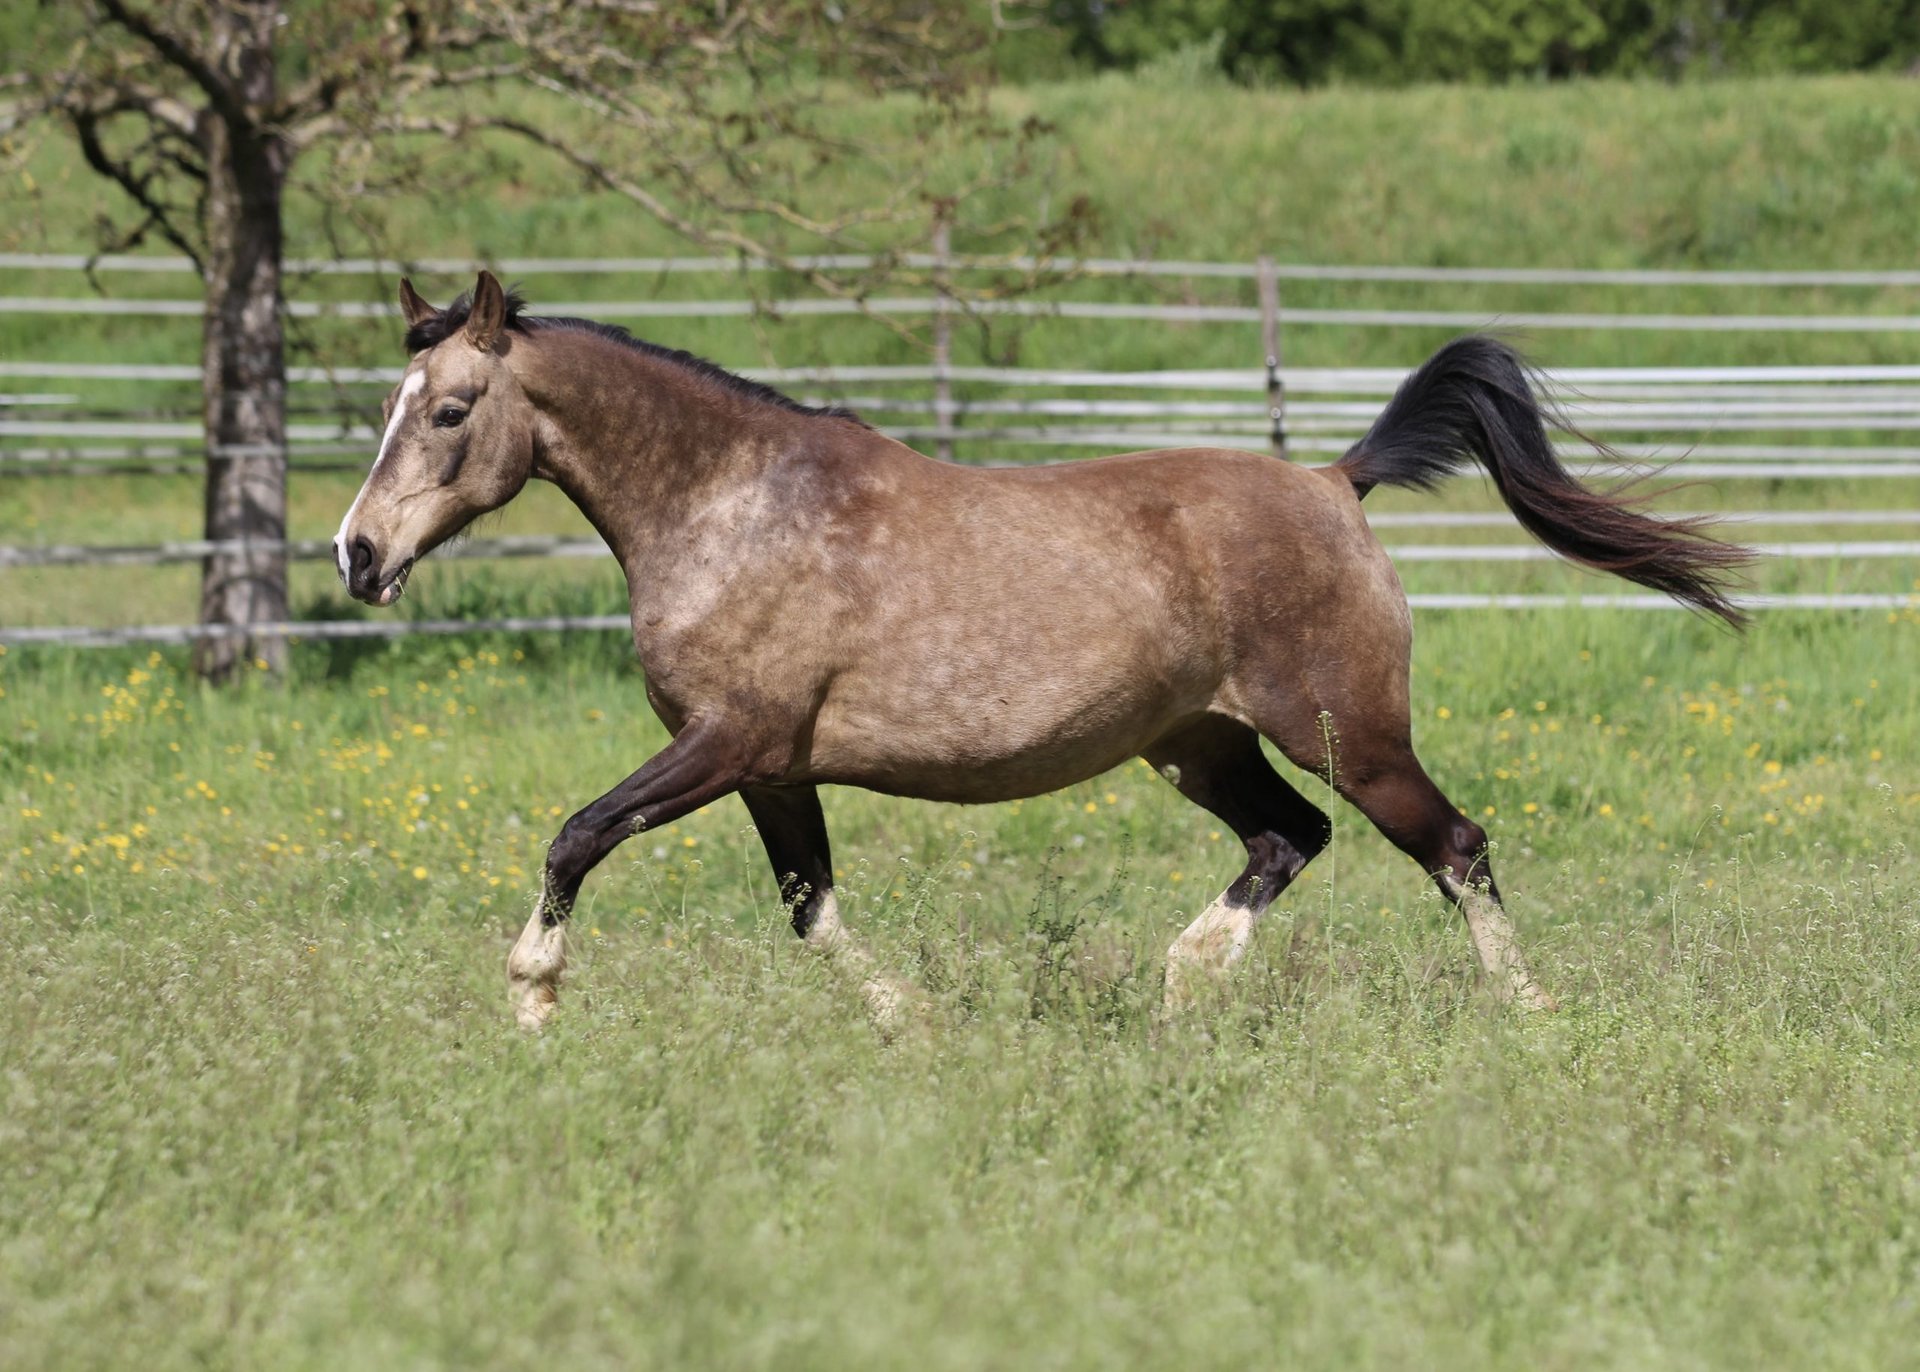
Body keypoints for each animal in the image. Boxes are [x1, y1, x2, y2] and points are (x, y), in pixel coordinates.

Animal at [334, 271, 1749, 1028]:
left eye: (450, 410)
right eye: (388, 408)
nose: (355, 554)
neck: (736, 505)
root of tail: (1335, 483)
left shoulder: (727, 742)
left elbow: (578, 833)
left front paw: (533, 998)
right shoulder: (773, 769)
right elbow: (812, 910)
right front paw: (919, 1029)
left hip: (1348, 733)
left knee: (1453, 845)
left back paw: (1529, 1017)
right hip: (1195, 745)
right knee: (1288, 839)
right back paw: (1184, 984)